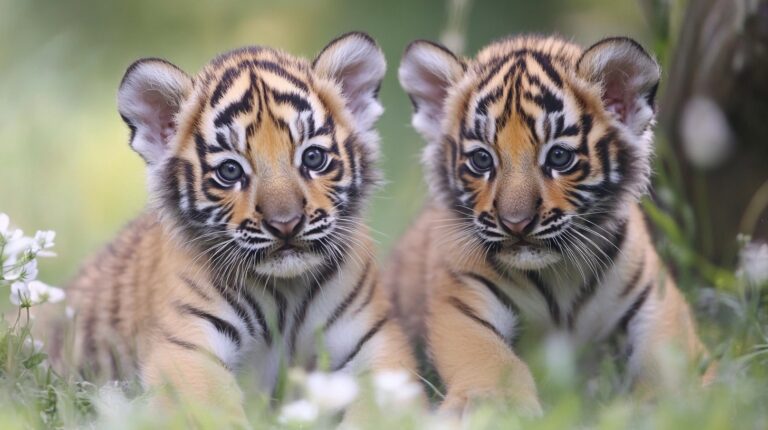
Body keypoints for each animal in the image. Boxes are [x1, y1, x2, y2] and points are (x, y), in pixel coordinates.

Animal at [40, 32, 417, 424]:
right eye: (230, 171)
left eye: (313, 158)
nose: (285, 224)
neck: (285, 295)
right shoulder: (187, 349)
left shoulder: (378, 341)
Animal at [388, 34, 714, 415]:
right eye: (482, 159)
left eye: (559, 157)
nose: (516, 223)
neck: (560, 278)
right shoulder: (463, 300)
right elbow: (489, 357)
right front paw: (493, 405)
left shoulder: (655, 300)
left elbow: (672, 360)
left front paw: (683, 401)